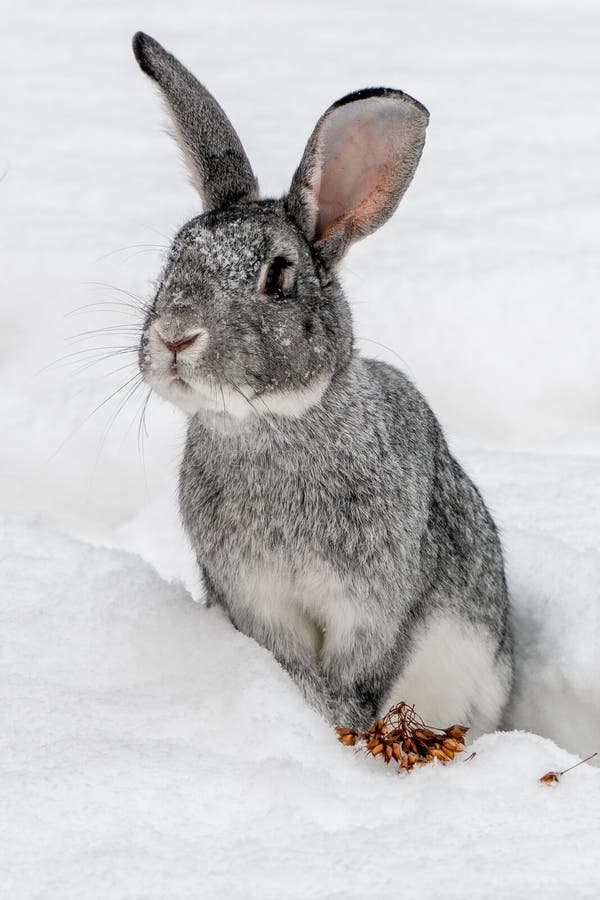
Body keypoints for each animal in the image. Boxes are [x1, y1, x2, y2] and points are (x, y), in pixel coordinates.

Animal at [132, 32, 513, 736]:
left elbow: (362, 674)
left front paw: (342, 723)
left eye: (278, 278)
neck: (271, 426)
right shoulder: (254, 599)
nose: (174, 336)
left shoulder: (376, 605)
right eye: (174, 258)